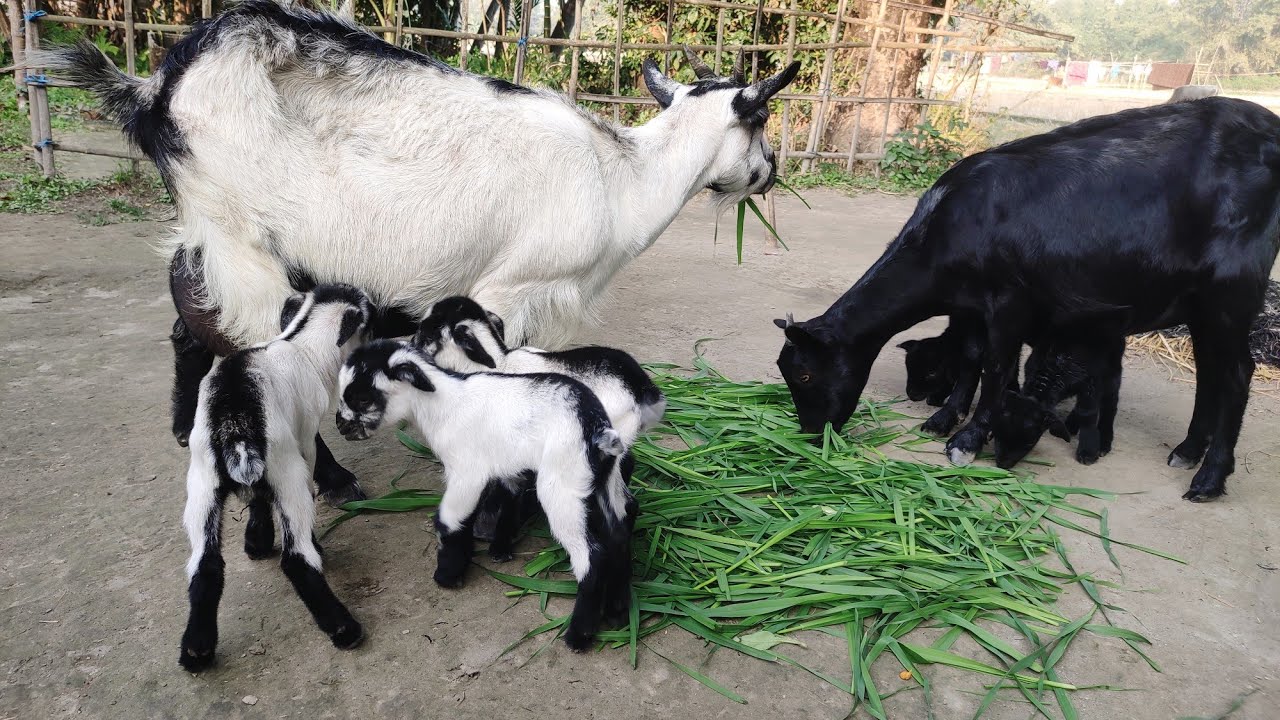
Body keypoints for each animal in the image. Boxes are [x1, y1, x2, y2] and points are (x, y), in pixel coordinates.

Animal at [42, 1, 799, 494]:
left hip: (216, 235)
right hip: (243, 243)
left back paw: (183, 424)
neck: (624, 177)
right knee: (254, 351)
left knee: (187, 310)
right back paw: (333, 480)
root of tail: (154, 88)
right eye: (762, 116)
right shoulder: (513, 288)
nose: (770, 171)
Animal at [179, 284, 371, 672]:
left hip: (202, 483)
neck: (300, 343)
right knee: (297, 558)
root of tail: (235, 423)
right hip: (286, 471)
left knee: (204, 565)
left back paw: (196, 651)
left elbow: (257, 497)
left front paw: (256, 541)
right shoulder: (304, 440)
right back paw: (343, 629)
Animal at [335, 340, 636, 651]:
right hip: (604, 484)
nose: (340, 426)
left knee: (591, 556)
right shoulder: (504, 466)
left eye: (362, 398)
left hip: (562, 488)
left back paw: (578, 636)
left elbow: (448, 519)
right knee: (619, 534)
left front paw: (448, 575)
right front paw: (488, 552)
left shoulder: (466, 472)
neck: (442, 404)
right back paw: (617, 614)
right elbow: (488, 508)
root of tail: (598, 431)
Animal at [992, 335, 1126, 469]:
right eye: (997, 432)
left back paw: (1104, 442)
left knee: (1111, 398)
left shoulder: (1093, 381)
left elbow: (1088, 412)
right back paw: (1071, 425)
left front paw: (1088, 452)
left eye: (1029, 443)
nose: (1003, 464)